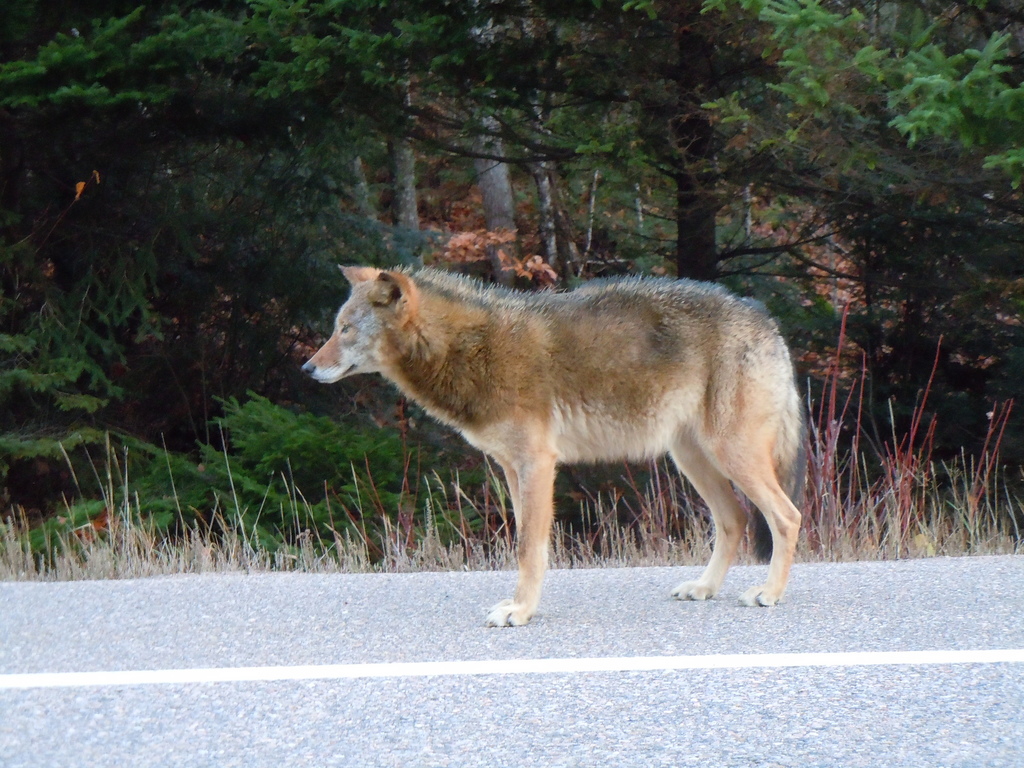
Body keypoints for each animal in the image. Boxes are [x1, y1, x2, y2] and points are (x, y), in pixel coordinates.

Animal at [303, 266, 805, 627]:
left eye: (346, 330)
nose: (307, 368)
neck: (470, 350)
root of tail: (766, 319)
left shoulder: (537, 463)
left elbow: (527, 547)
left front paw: (520, 613)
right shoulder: (512, 468)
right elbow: (531, 545)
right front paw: (525, 606)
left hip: (730, 454)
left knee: (787, 516)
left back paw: (770, 594)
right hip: (691, 459)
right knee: (735, 519)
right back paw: (704, 588)